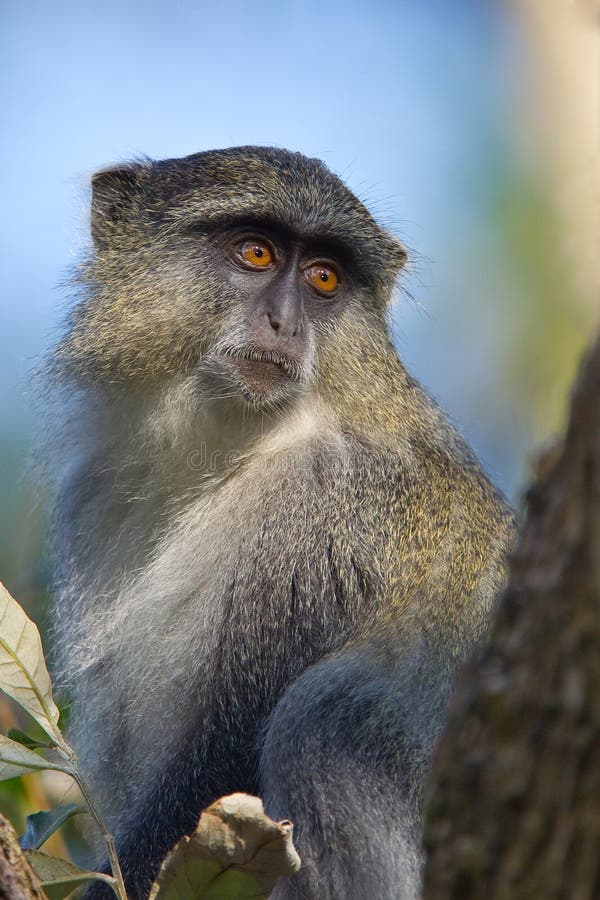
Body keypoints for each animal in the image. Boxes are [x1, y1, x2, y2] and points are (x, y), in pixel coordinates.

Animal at [44, 146, 516, 899]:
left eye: (324, 278)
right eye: (257, 253)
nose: (285, 325)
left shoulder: (328, 506)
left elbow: (225, 757)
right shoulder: (91, 492)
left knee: (324, 727)